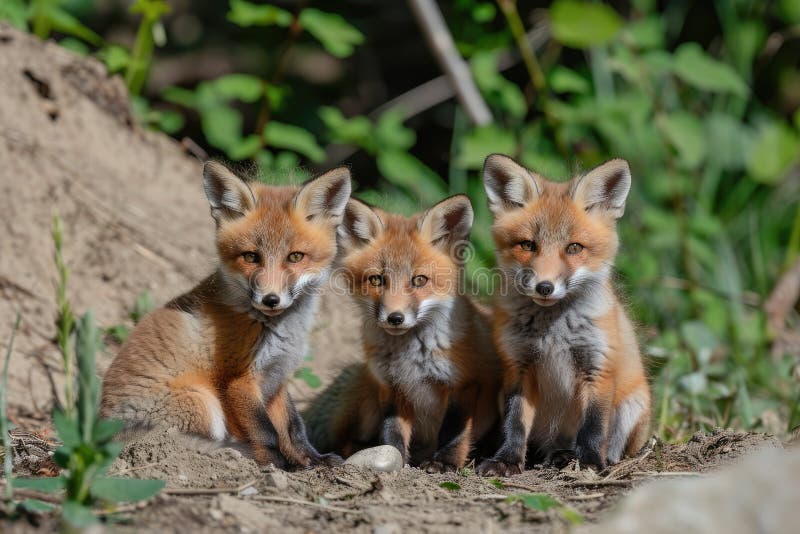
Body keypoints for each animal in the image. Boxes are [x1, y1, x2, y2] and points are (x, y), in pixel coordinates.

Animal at [100, 161, 351, 469]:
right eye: (251, 256)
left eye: (295, 257)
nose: (270, 299)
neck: (280, 329)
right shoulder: (238, 380)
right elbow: (266, 433)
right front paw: (276, 465)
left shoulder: (276, 378)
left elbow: (294, 428)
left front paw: (312, 459)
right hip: (202, 402)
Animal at [304, 195, 503, 471]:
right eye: (376, 280)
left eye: (419, 280)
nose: (395, 318)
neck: (411, 359)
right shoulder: (391, 387)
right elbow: (392, 431)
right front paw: (392, 456)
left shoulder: (465, 384)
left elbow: (456, 434)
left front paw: (445, 462)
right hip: (365, 393)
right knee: (344, 441)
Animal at [475, 154, 651, 476]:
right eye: (527, 245)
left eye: (574, 248)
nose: (545, 287)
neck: (553, 332)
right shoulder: (518, 367)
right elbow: (514, 423)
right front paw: (507, 460)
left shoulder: (597, 366)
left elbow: (593, 427)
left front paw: (590, 461)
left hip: (632, 407)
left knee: (611, 448)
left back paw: (572, 457)